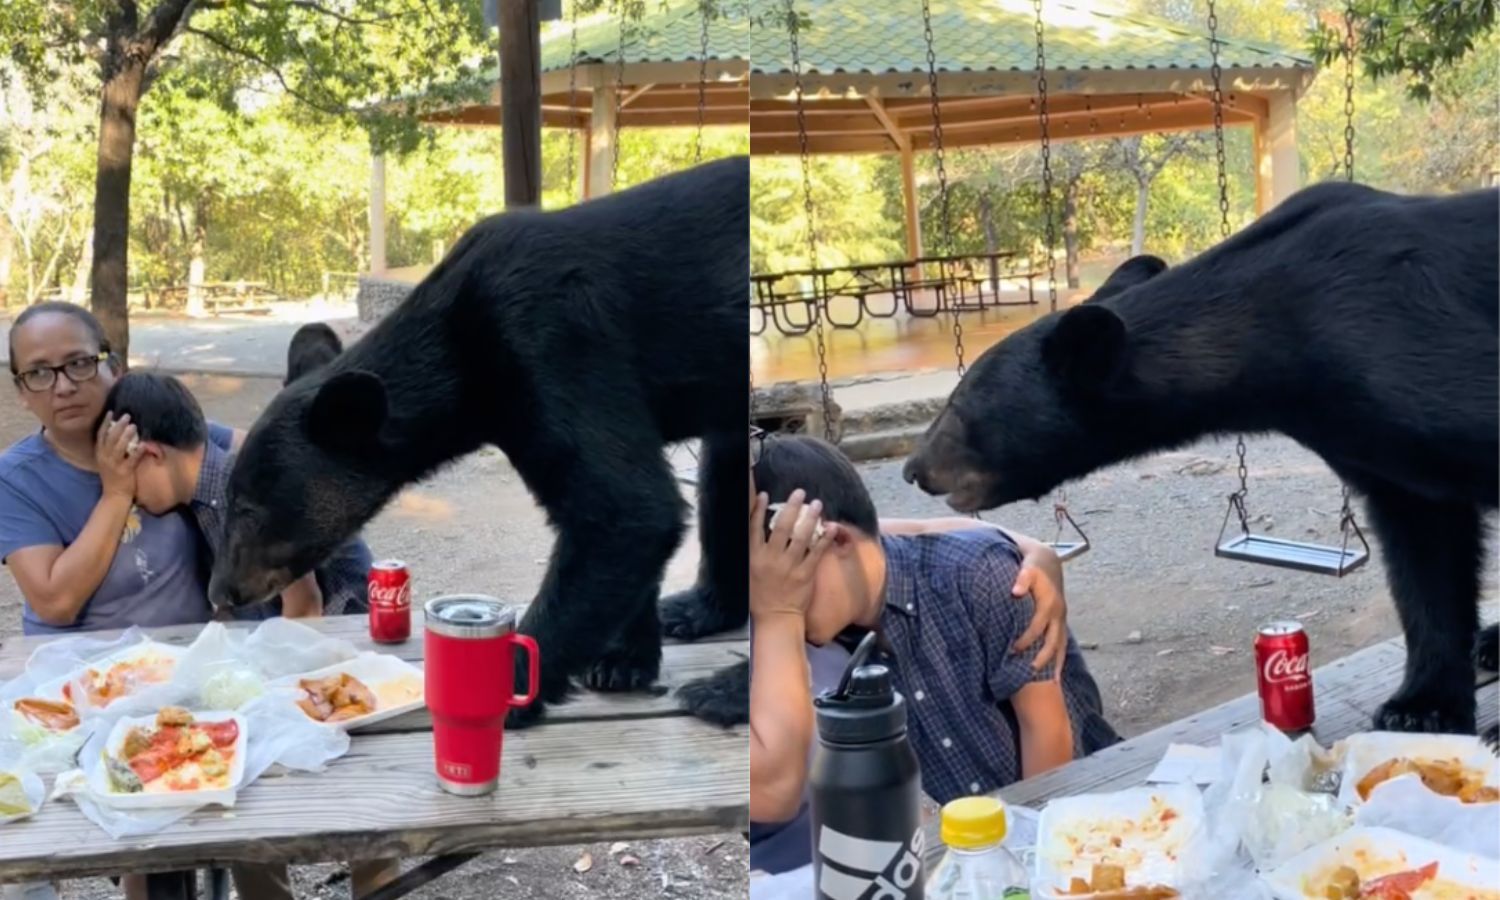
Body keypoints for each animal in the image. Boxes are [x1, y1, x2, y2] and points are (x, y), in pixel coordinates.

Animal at [207, 157, 750, 727]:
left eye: (248, 508)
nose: (220, 591)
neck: (463, 353)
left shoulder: (555, 340)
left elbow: (624, 508)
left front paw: (509, 690)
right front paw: (622, 660)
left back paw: (724, 690)